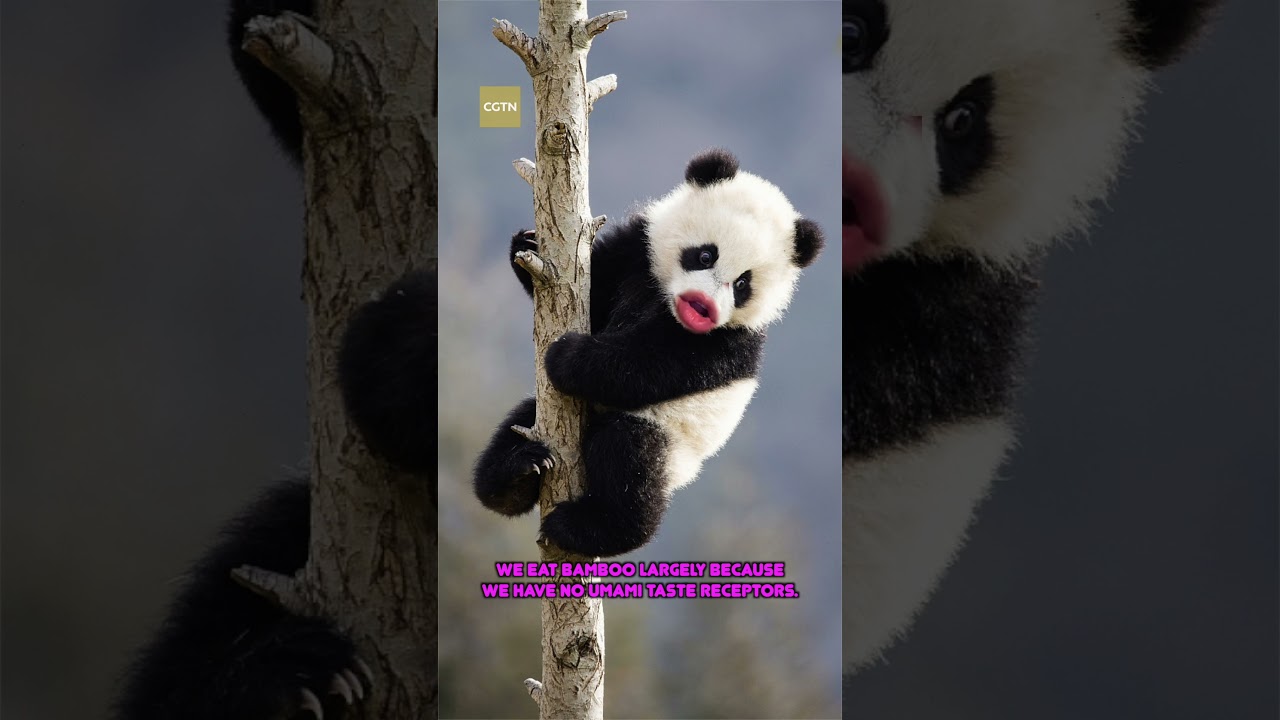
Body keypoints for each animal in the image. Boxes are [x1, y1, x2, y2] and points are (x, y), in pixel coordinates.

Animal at [474, 149, 824, 559]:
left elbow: (653, 364)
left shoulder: (731, 340)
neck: (666, 301)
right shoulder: (638, 252)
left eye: (743, 283)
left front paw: (568, 356)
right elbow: (593, 293)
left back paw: (585, 526)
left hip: (669, 438)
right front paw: (527, 247)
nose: (703, 307)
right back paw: (512, 478)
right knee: (522, 419)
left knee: (629, 459)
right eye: (705, 255)